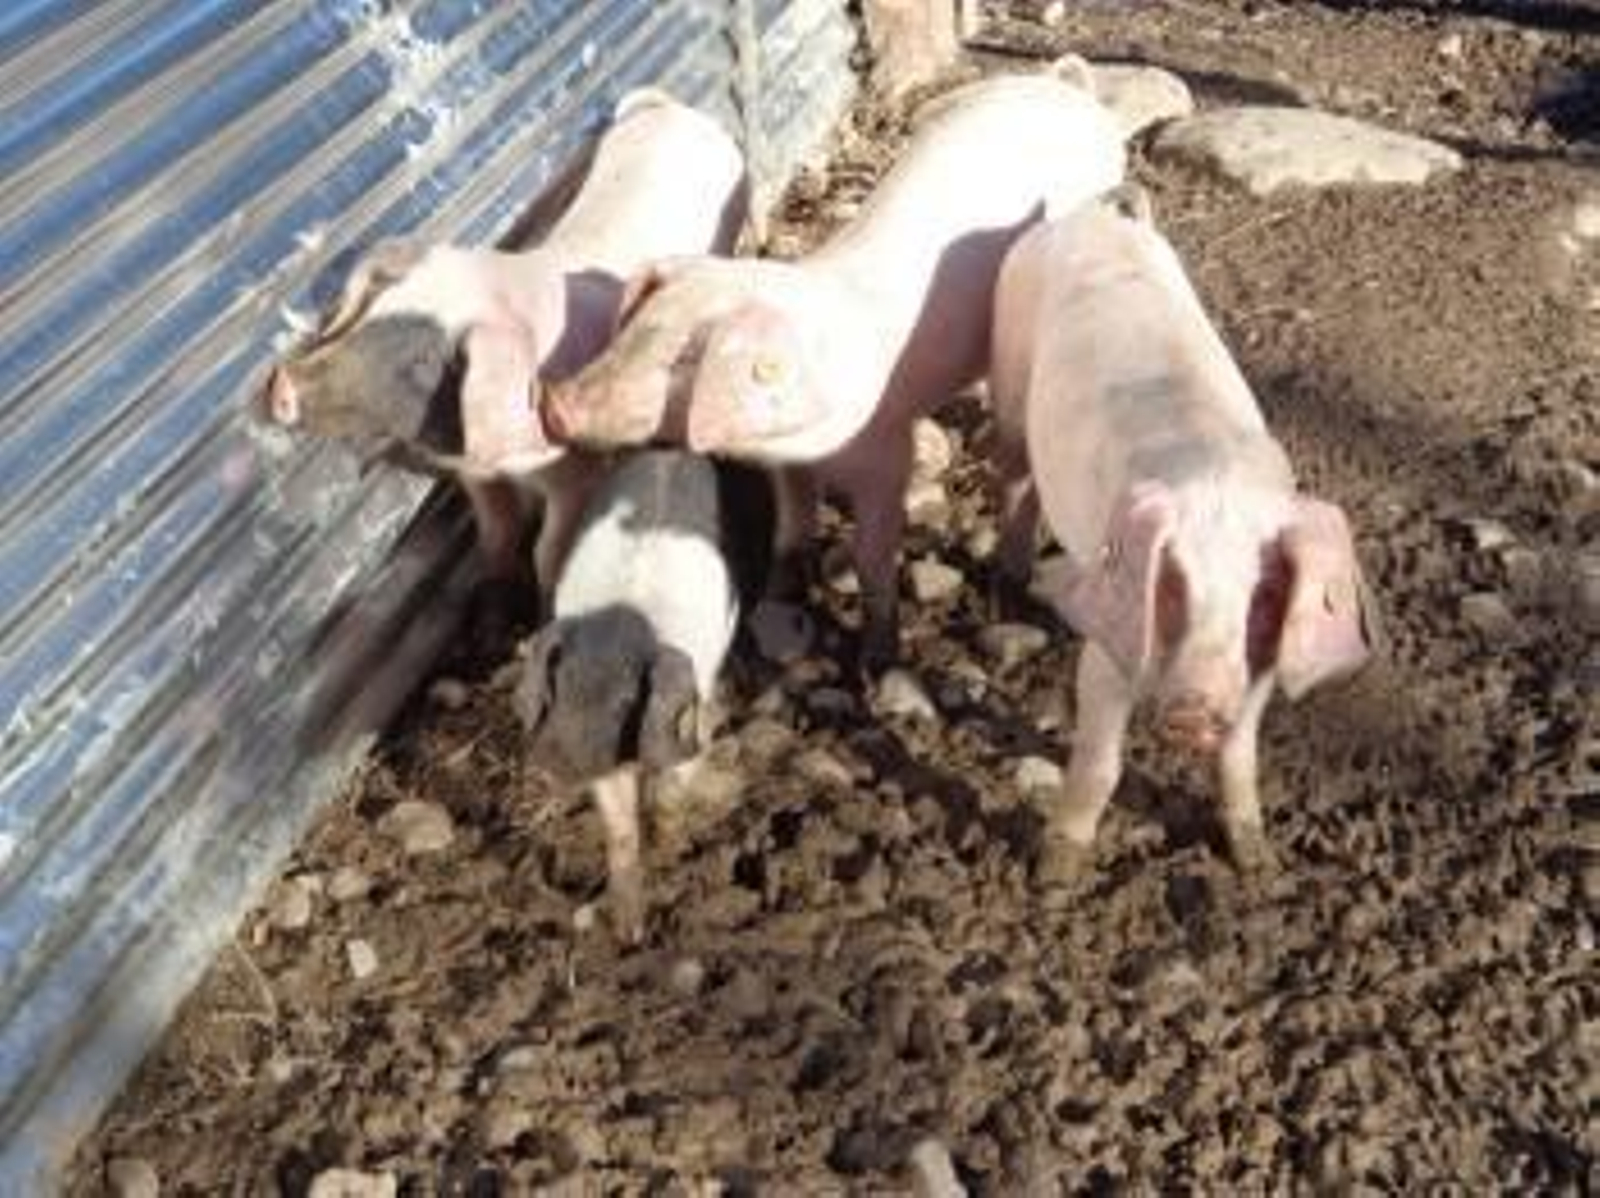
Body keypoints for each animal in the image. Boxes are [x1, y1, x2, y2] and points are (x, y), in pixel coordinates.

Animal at [262, 87, 748, 604]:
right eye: (375, 309)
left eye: (422, 361)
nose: (279, 384)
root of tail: (674, 108)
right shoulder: (473, 472)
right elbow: (496, 531)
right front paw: (498, 581)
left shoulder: (573, 472)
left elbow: (549, 549)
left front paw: (544, 599)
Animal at [514, 448, 775, 944]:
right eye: (559, 683)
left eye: (625, 702)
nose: (546, 766)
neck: (627, 617)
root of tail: (676, 452)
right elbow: (619, 830)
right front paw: (629, 934)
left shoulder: (689, 706)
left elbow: (672, 788)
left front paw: (670, 848)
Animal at [543, 58, 1125, 670]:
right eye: (635, 325)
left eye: (686, 358)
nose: (553, 400)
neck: (799, 434)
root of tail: (1066, 89)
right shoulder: (788, 465)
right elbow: (795, 512)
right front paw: (782, 581)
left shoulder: (886, 455)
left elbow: (871, 558)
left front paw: (878, 659)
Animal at [989, 185, 1379, 886]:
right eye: (1169, 584)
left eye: (1265, 598)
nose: (1192, 711)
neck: (1217, 489)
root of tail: (1093, 215)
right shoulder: (1107, 646)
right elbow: (1100, 765)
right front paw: (1054, 878)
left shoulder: (1260, 668)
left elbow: (1240, 758)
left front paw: (1259, 865)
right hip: (1006, 359)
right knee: (1012, 473)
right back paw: (1011, 581)